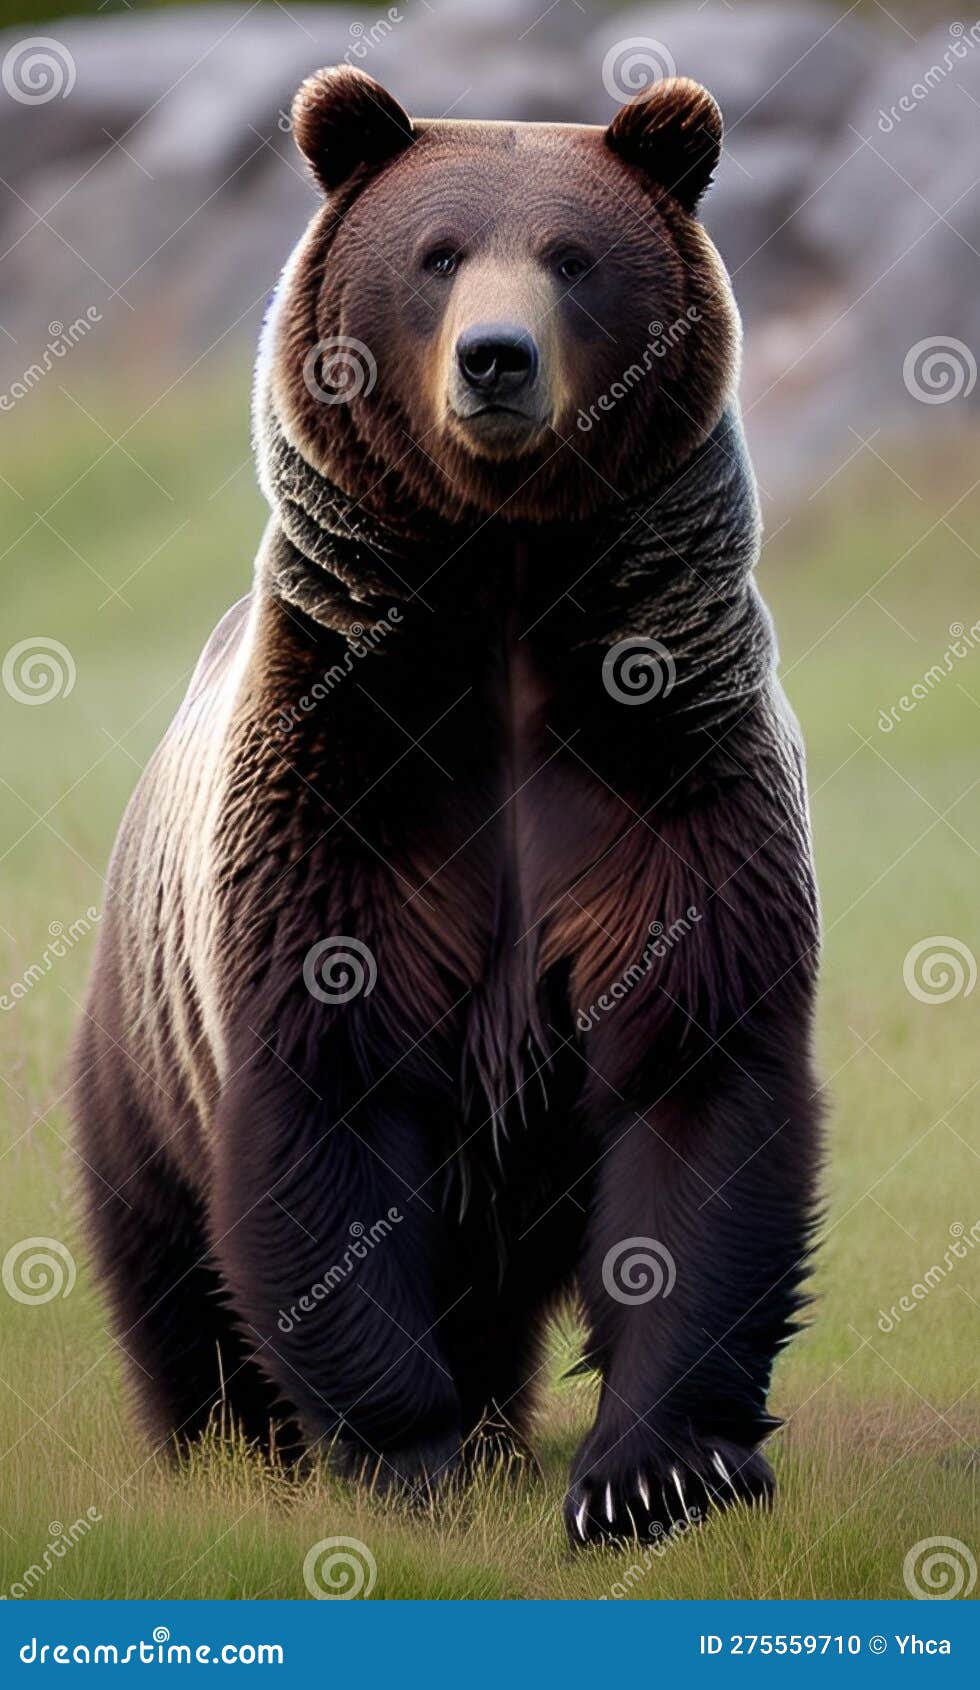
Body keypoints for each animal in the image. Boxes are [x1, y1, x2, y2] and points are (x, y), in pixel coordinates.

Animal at [72, 65, 821, 1549]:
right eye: (435, 254)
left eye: (573, 257)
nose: (494, 359)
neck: (506, 588)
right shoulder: (347, 779)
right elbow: (332, 1103)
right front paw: (412, 1458)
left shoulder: (667, 759)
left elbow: (696, 1070)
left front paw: (651, 1471)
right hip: (138, 1053)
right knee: (172, 1273)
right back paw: (231, 1444)